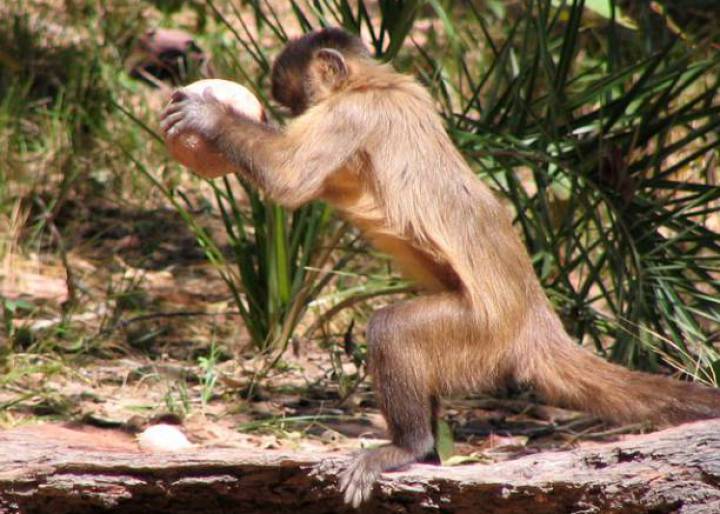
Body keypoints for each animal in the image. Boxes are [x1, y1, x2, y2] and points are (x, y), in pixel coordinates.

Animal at [160, 27, 720, 507]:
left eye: (295, 101)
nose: (292, 111)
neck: (375, 81)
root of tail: (535, 319)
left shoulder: (352, 112)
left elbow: (289, 179)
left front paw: (211, 119)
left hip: (482, 337)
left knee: (391, 328)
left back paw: (407, 447)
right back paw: (425, 451)